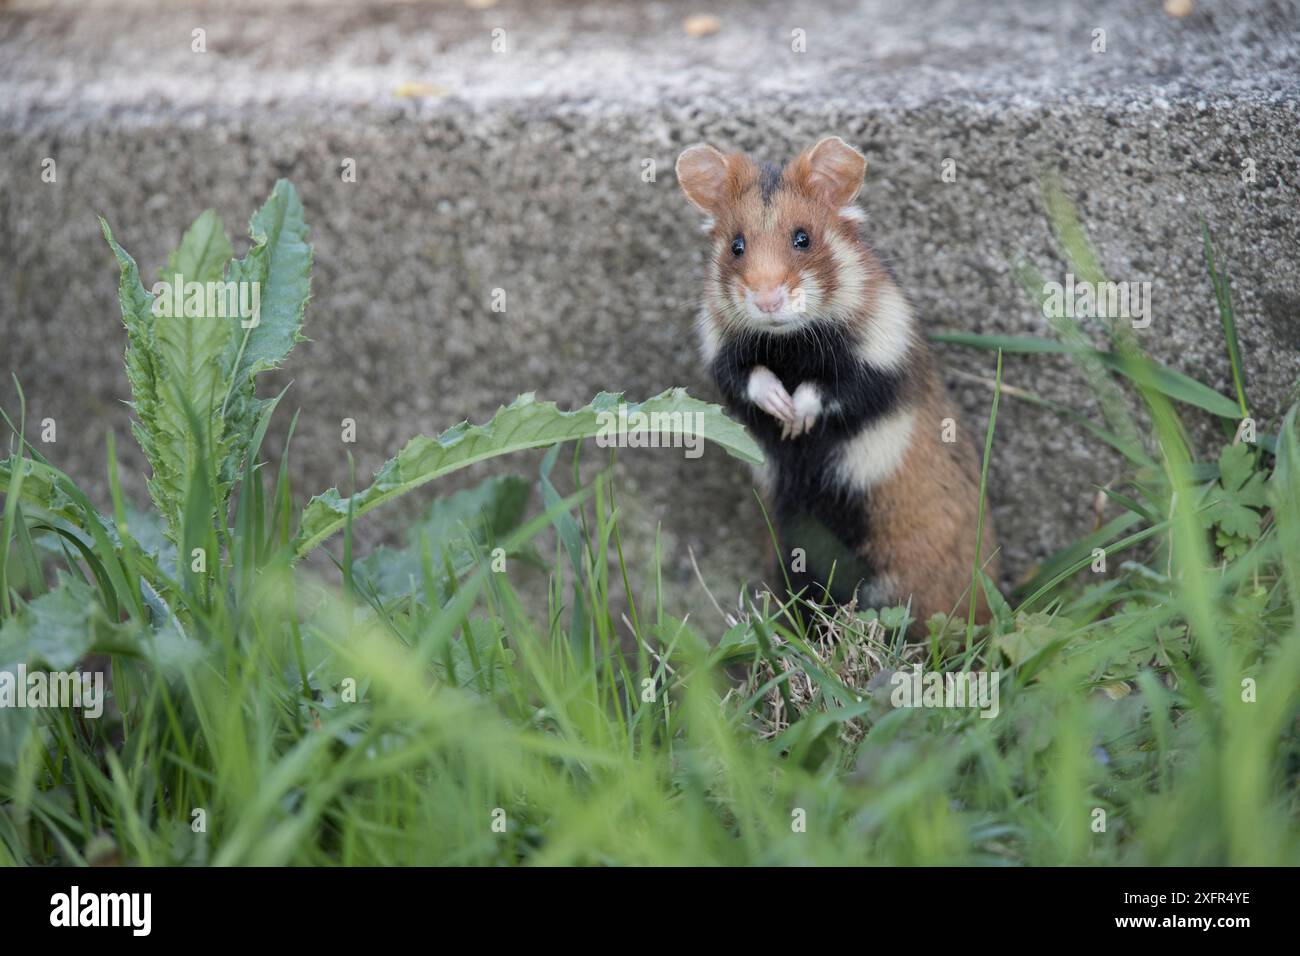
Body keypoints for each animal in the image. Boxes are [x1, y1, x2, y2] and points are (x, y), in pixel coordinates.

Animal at [675, 136, 999, 629]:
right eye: (736, 245)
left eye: (803, 238)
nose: (767, 301)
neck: (788, 341)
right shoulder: (723, 355)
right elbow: (751, 378)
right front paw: (782, 410)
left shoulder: (878, 355)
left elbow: (830, 388)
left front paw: (796, 420)